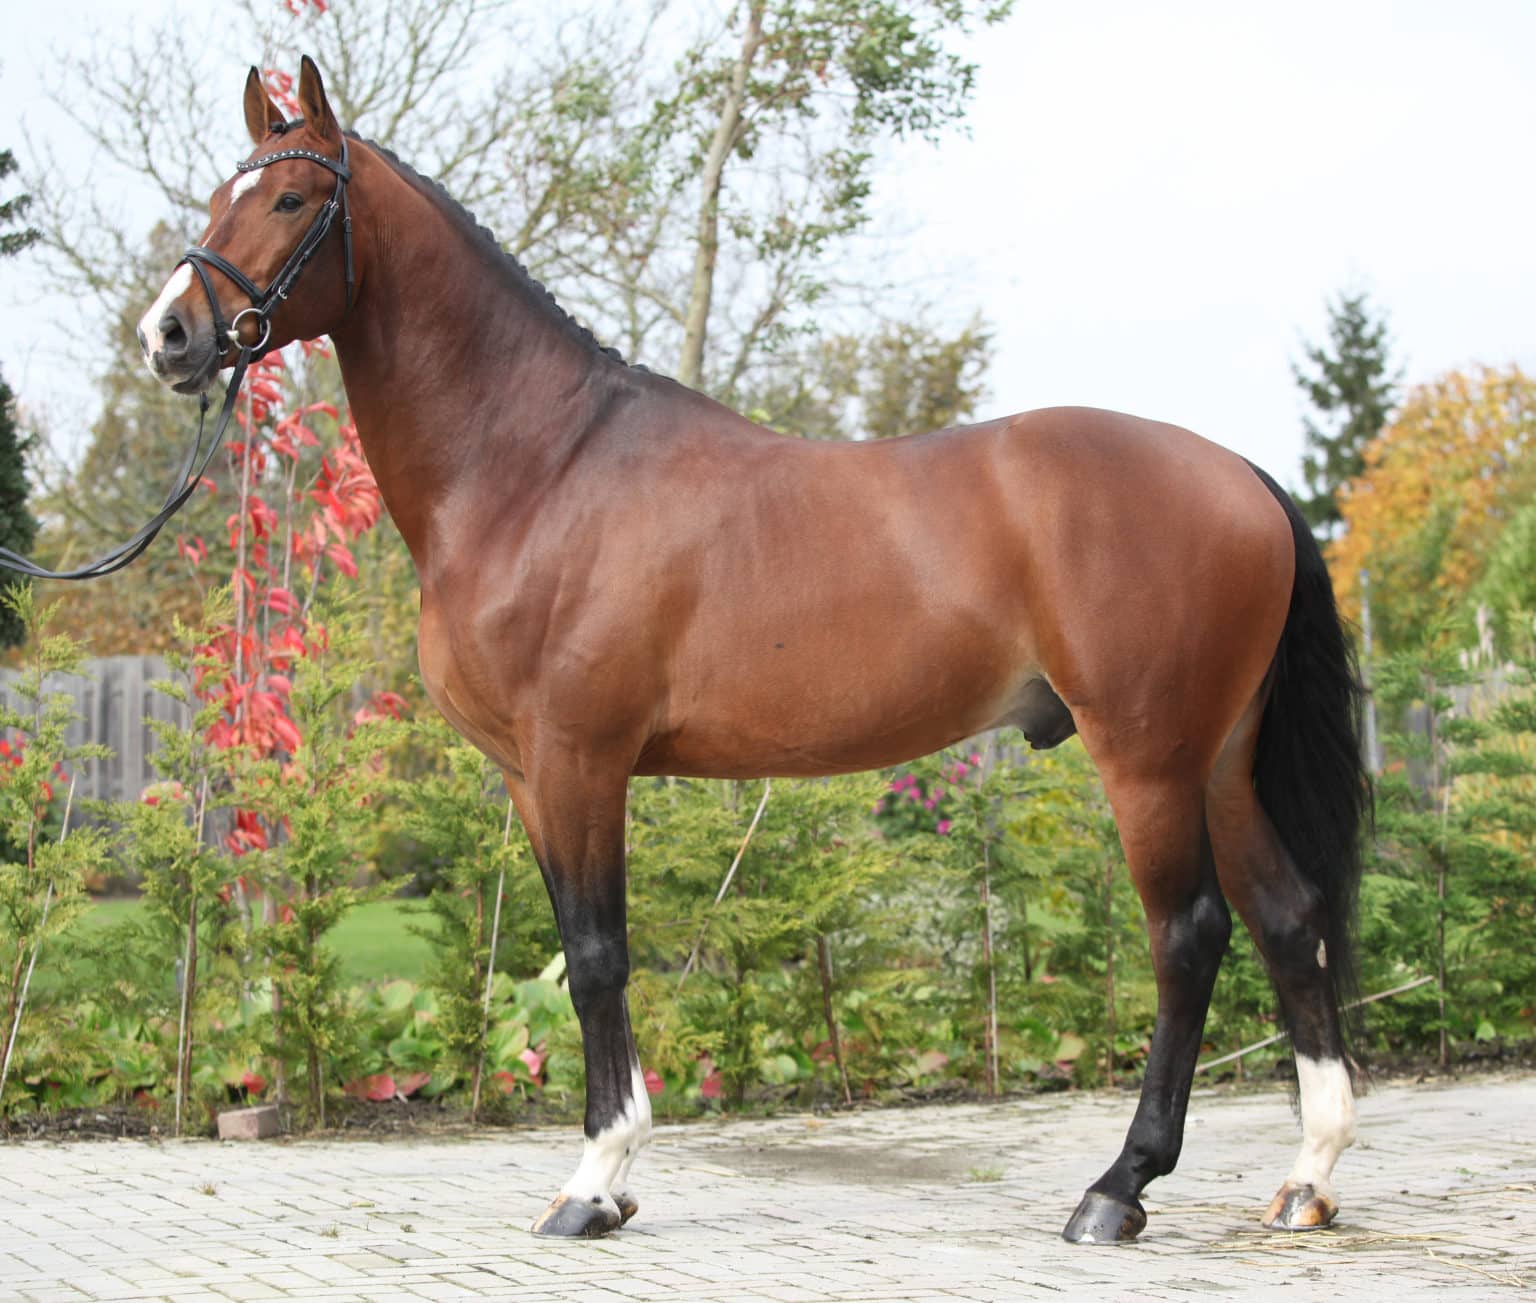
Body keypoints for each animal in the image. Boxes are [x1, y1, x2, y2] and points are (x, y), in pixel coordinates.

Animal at [136, 57, 1369, 1243]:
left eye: (292, 198)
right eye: (222, 193)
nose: (169, 334)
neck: (538, 465)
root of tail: (1240, 473)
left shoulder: (580, 757)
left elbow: (597, 955)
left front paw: (596, 1183)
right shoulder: (530, 776)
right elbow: (581, 951)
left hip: (1149, 758)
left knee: (1188, 935)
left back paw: (1118, 1189)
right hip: (1220, 758)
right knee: (1286, 917)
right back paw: (1304, 1179)